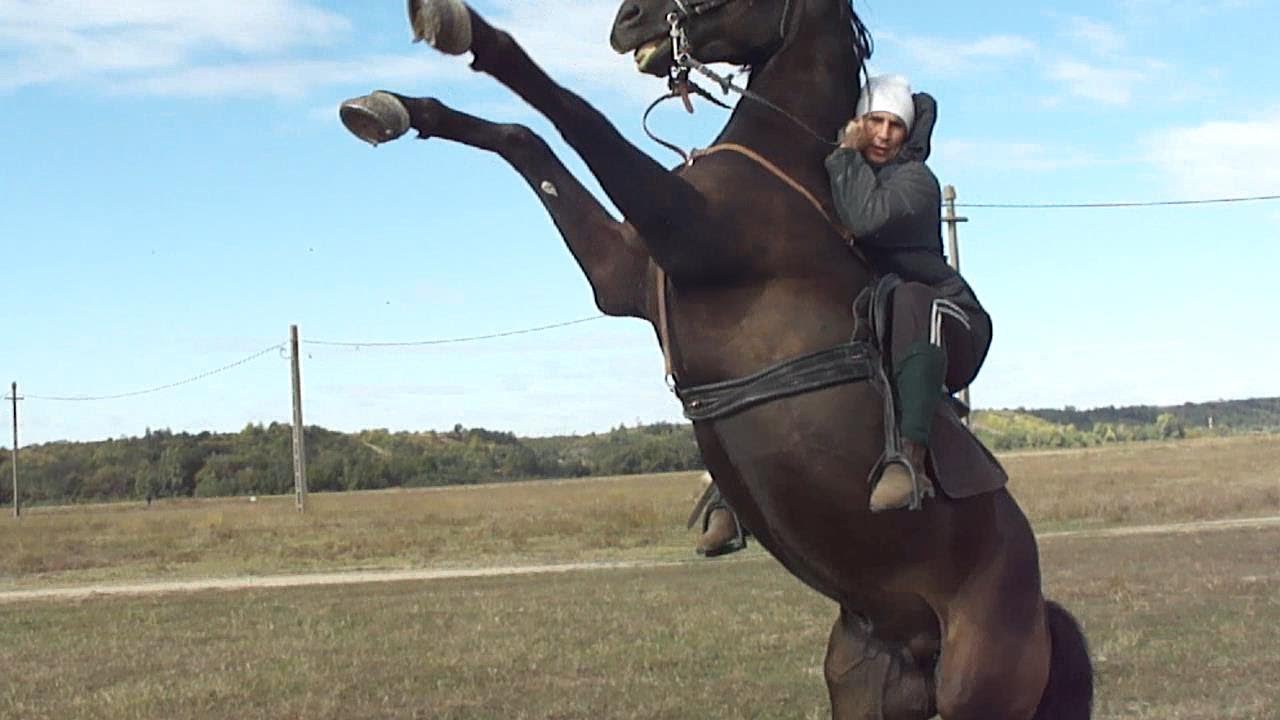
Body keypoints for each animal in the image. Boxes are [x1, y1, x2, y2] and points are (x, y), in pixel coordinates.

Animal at [339, 0, 1094, 717]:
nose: (627, 22)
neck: (783, 165)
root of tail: (1038, 608)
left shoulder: (689, 230)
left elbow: (570, 108)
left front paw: (461, 27)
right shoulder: (621, 275)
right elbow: (529, 138)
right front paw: (392, 109)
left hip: (978, 694)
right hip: (864, 682)